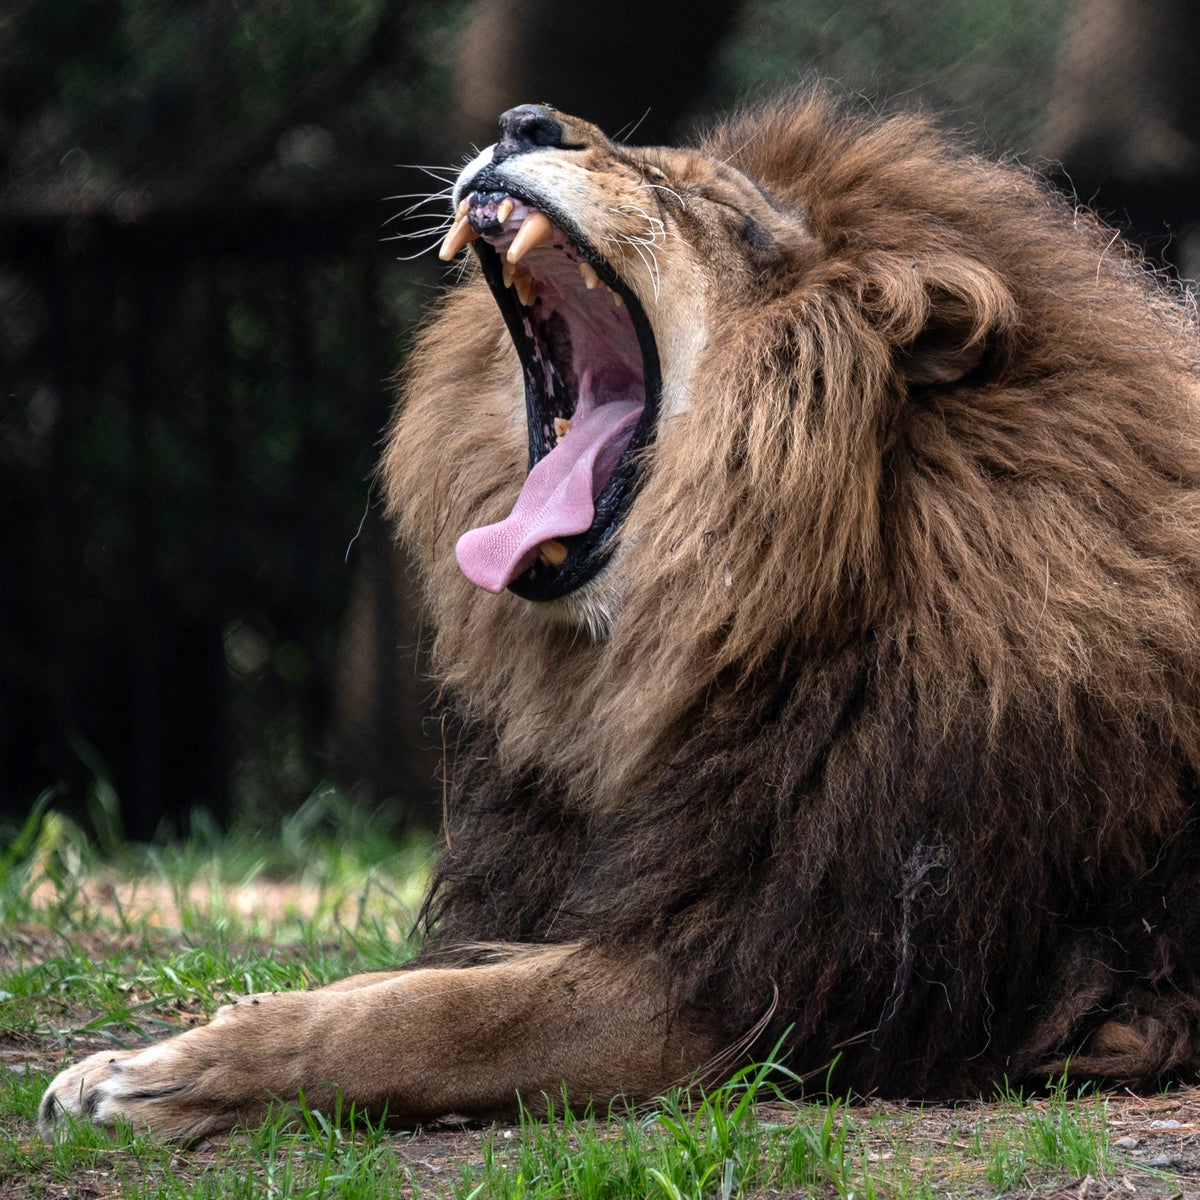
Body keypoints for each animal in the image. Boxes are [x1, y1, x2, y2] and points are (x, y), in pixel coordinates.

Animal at [41, 93, 1200, 1140]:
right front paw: (143, 1050)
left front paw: (173, 1077)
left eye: (707, 204)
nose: (523, 123)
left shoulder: (775, 979)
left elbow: (438, 1020)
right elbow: (399, 983)